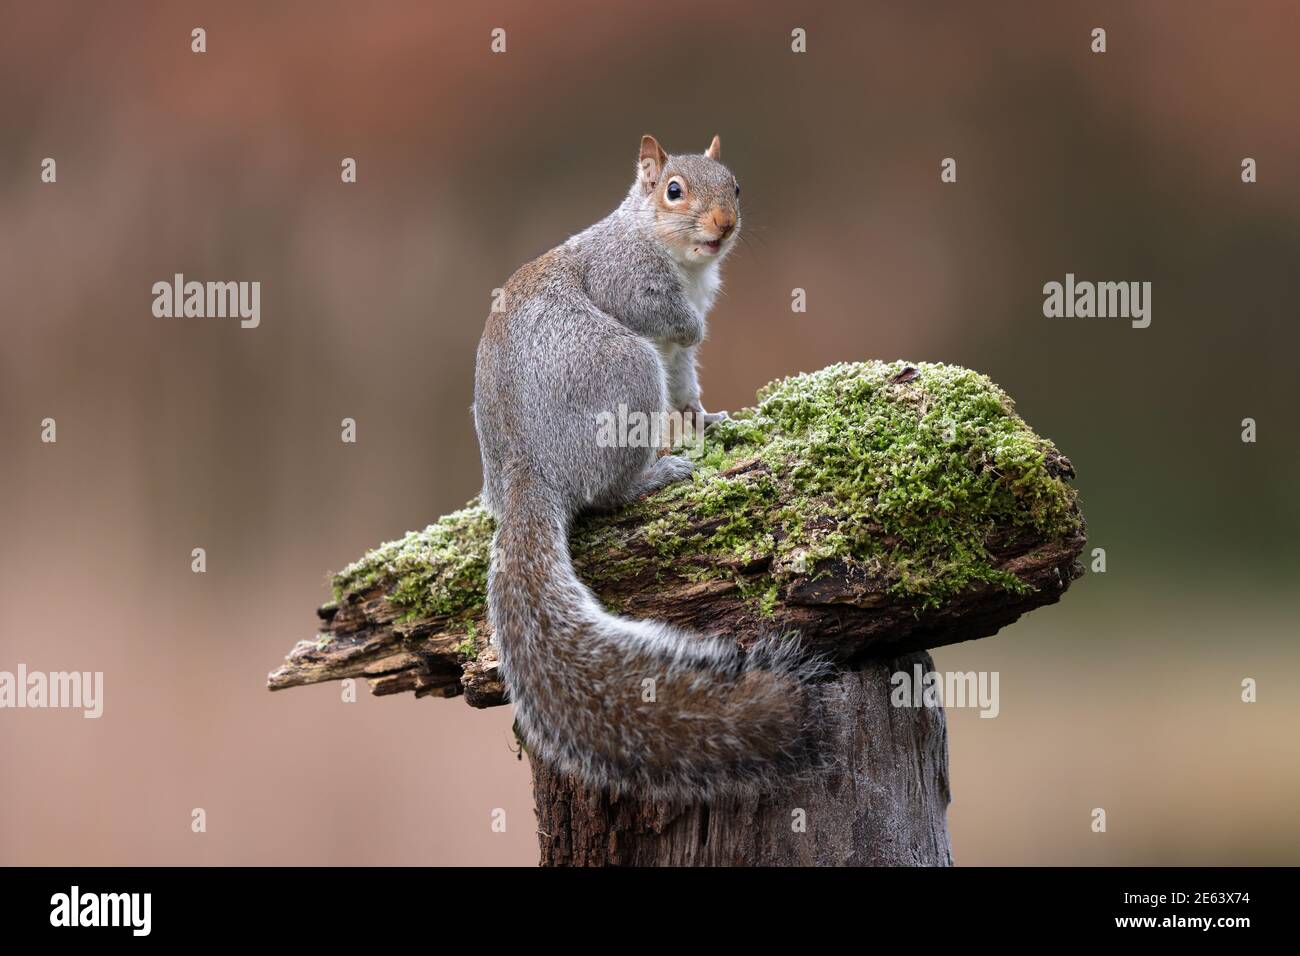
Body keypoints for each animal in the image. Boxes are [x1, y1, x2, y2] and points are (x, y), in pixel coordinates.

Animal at [472, 134, 827, 801]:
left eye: (736, 185)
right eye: (674, 190)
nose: (725, 224)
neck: (676, 255)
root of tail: (529, 472)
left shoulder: (679, 358)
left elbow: (687, 386)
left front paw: (711, 421)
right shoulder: (627, 278)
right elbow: (663, 315)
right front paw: (695, 329)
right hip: (624, 368)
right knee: (607, 493)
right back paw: (656, 475)